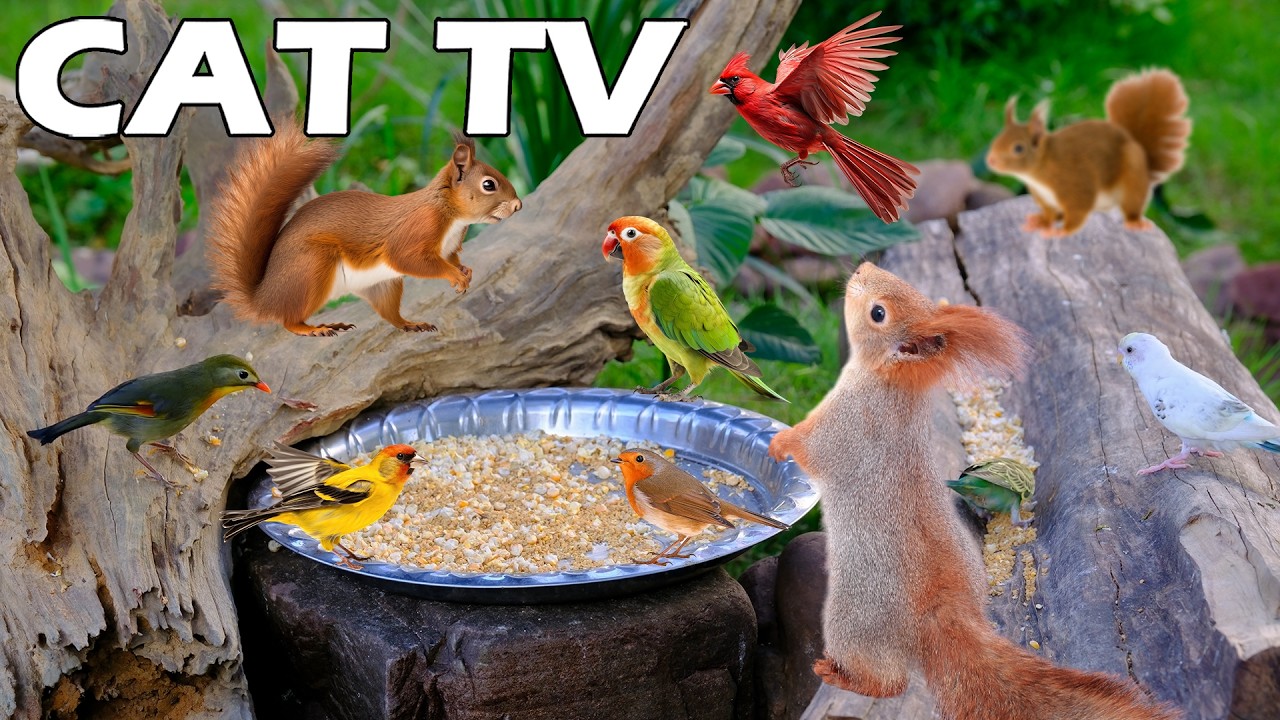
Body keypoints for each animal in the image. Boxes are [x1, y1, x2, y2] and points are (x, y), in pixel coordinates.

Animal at [207, 121, 522, 337]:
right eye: (488, 185)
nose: (518, 205)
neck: (453, 217)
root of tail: (264, 297)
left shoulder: (450, 247)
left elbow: (452, 258)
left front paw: (465, 271)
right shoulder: (418, 228)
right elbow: (409, 258)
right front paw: (454, 275)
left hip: (384, 284)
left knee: (390, 314)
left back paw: (410, 323)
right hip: (312, 267)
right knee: (288, 320)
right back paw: (314, 328)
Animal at [768, 263, 1176, 720]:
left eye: (878, 313)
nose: (862, 268)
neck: (891, 387)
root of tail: (944, 609)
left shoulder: (842, 424)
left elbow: (810, 449)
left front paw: (779, 443)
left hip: (854, 622)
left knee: (889, 683)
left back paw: (839, 674)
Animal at [986, 68, 1190, 238]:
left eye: (1018, 148)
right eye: (997, 138)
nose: (990, 160)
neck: (1041, 169)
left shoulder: (1075, 185)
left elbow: (1078, 212)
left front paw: (1063, 231)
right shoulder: (1044, 198)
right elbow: (1050, 213)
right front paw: (1043, 222)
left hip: (1133, 180)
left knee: (1132, 205)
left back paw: (1134, 222)